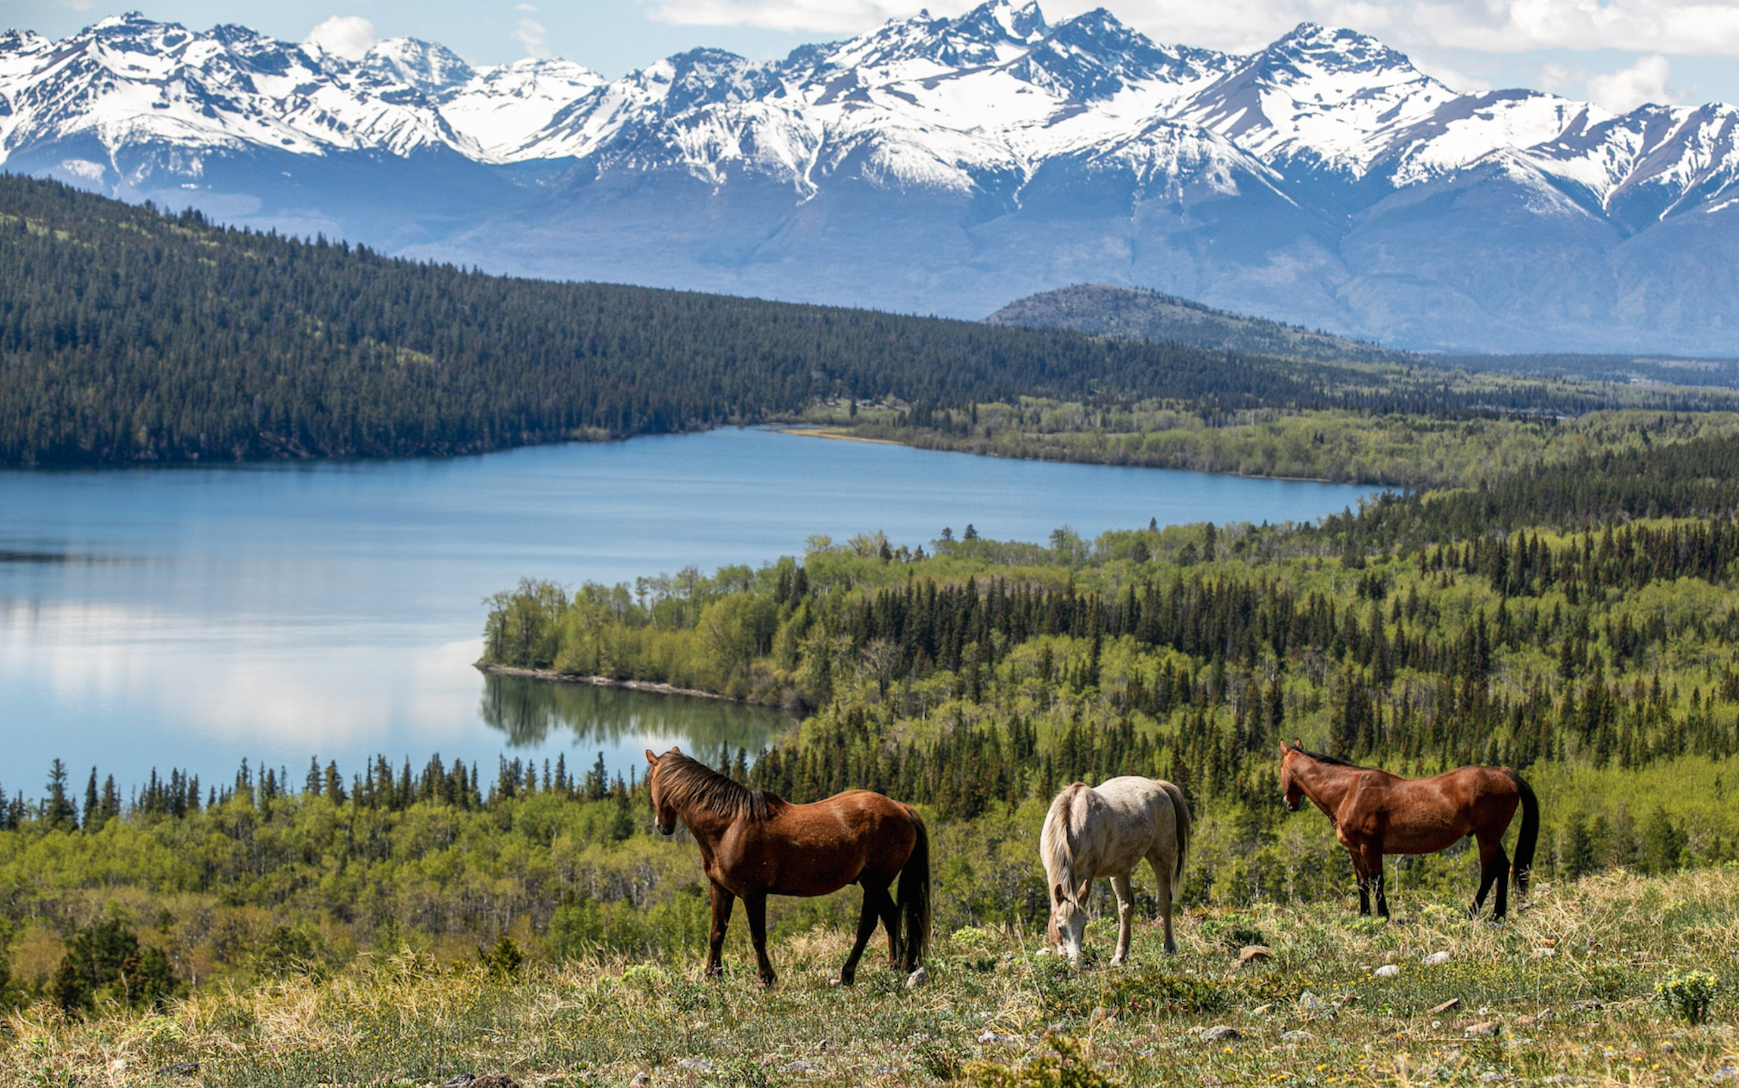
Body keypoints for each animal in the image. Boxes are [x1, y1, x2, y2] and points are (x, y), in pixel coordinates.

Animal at [644, 746, 930, 988]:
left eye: (649, 780)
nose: (662, 826)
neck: (729, 827)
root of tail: (902, 809)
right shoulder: (720, 888)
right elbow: (717, 931)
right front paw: (712, 975)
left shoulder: (753, 893)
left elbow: (757, 936)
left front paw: (766, 979)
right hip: (875, 883)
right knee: (890, 915)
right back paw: (894, 967)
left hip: (874, 882)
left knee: (867, 924)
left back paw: (846, 975)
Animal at [1040, 776, 1190, 964]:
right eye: (1060, 927)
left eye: (1084, 925)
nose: (1078, 963)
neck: (1070, 822)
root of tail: (1158, 785)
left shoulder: (1086, 874)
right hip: (1120, 869)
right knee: (1126, 906)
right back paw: (1120, 956)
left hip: (1161, 857)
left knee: (1164, 902)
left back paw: (1169, 948)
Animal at [1278, 740, 1539, 921]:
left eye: (1280, 767)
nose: (1288, 803)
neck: (1348, 792)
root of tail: (1503, 773)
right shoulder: (1355, 850)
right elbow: (1362, 883)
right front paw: (1364, 915)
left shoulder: (1370, 846)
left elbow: (1377, 881)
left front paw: (1383, 915)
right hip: (1492, 836)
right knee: (1504, 867)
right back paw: (1498, 915)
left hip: (1487, 835)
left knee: (1489, 872)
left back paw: (1472, 914)